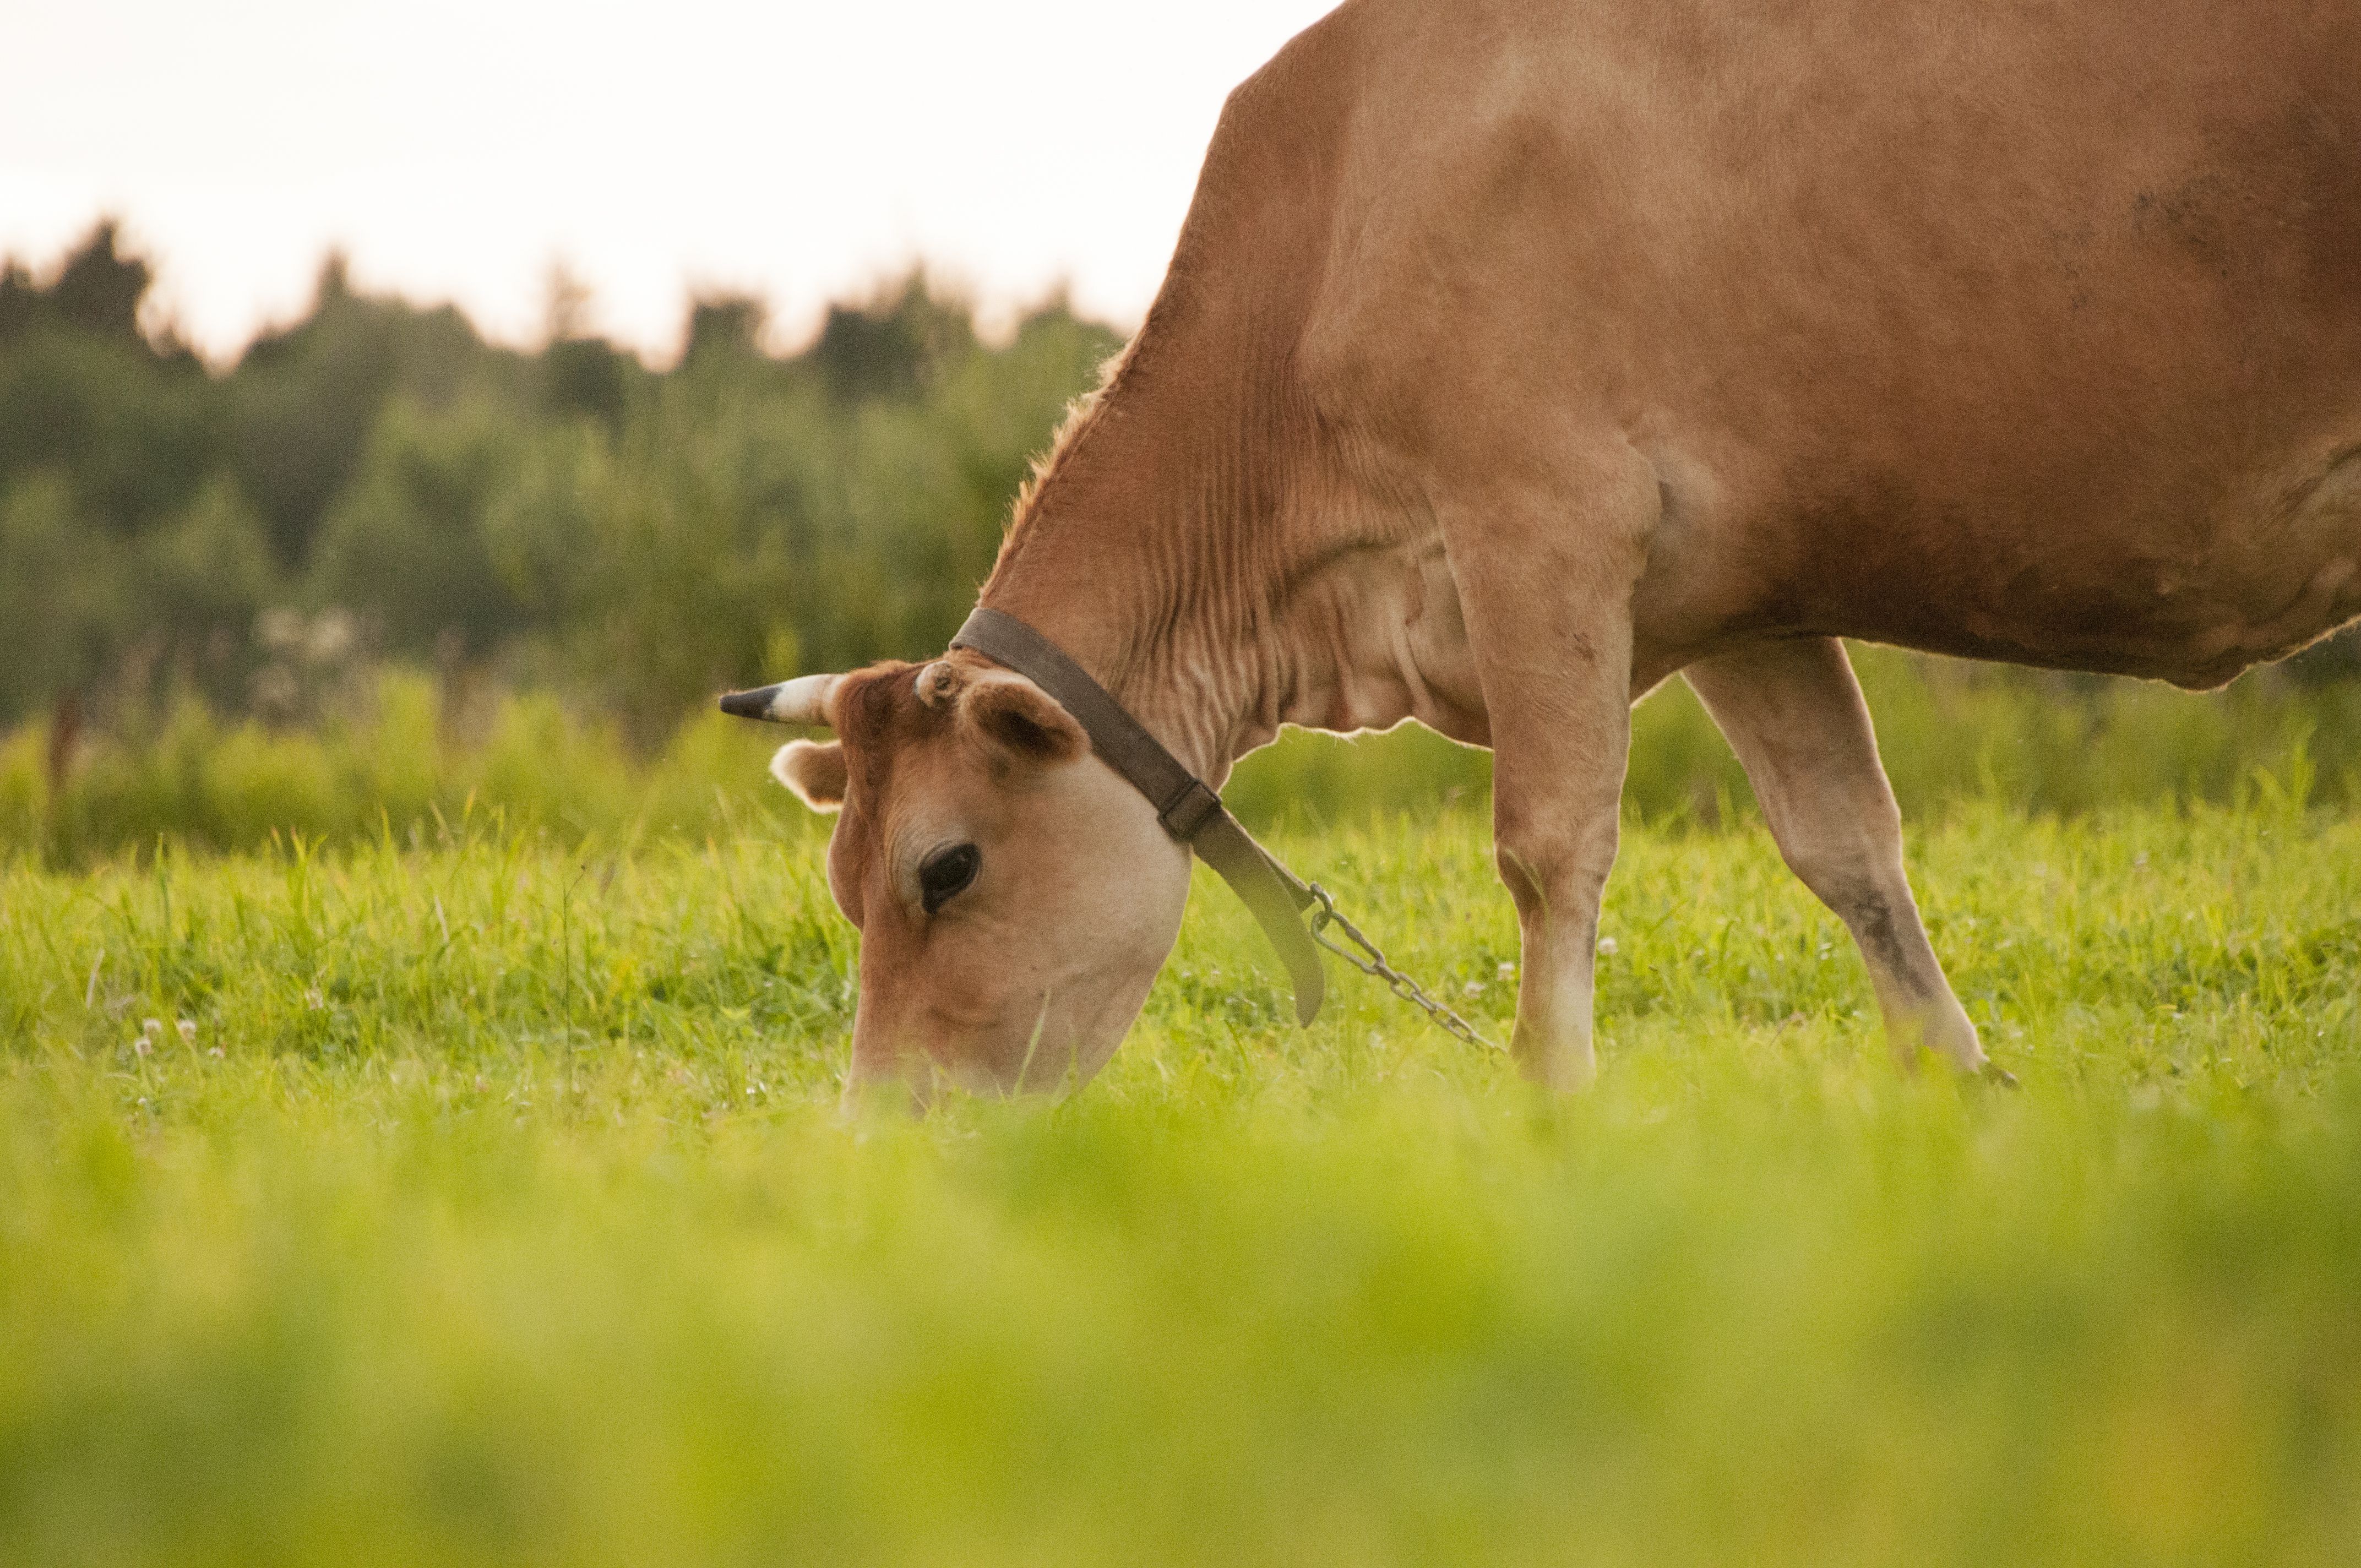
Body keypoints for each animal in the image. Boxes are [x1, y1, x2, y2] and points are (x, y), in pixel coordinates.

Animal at [730, 0, 2361, 1104]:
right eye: (843, 887)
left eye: (946, 867)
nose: (880, 1138)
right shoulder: (1746, 606)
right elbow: (1850, 849)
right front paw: (1958, 1095)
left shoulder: (1539, 530)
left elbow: (1549, 849)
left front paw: (1551, 1110)